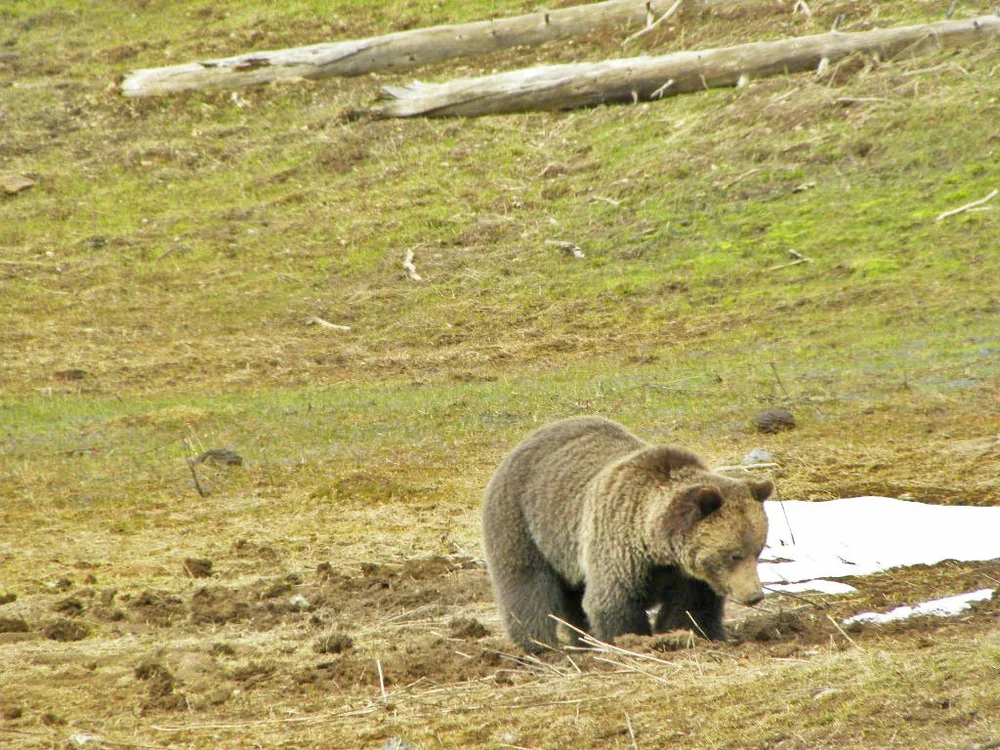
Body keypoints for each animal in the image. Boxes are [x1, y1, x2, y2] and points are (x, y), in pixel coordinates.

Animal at [481, 416, 773, 653]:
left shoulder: (688, 576)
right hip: (523, 520)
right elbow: (613, 604)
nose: (754, 595)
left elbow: (691, 608)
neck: (657, 545)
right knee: (526, 584)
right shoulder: (618, 547)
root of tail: (531, 437)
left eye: (758, 550)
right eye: (734, 554)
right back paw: (539, 644)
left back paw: (581, 639)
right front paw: (631, 642)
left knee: (571, 598)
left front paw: (696, 636)